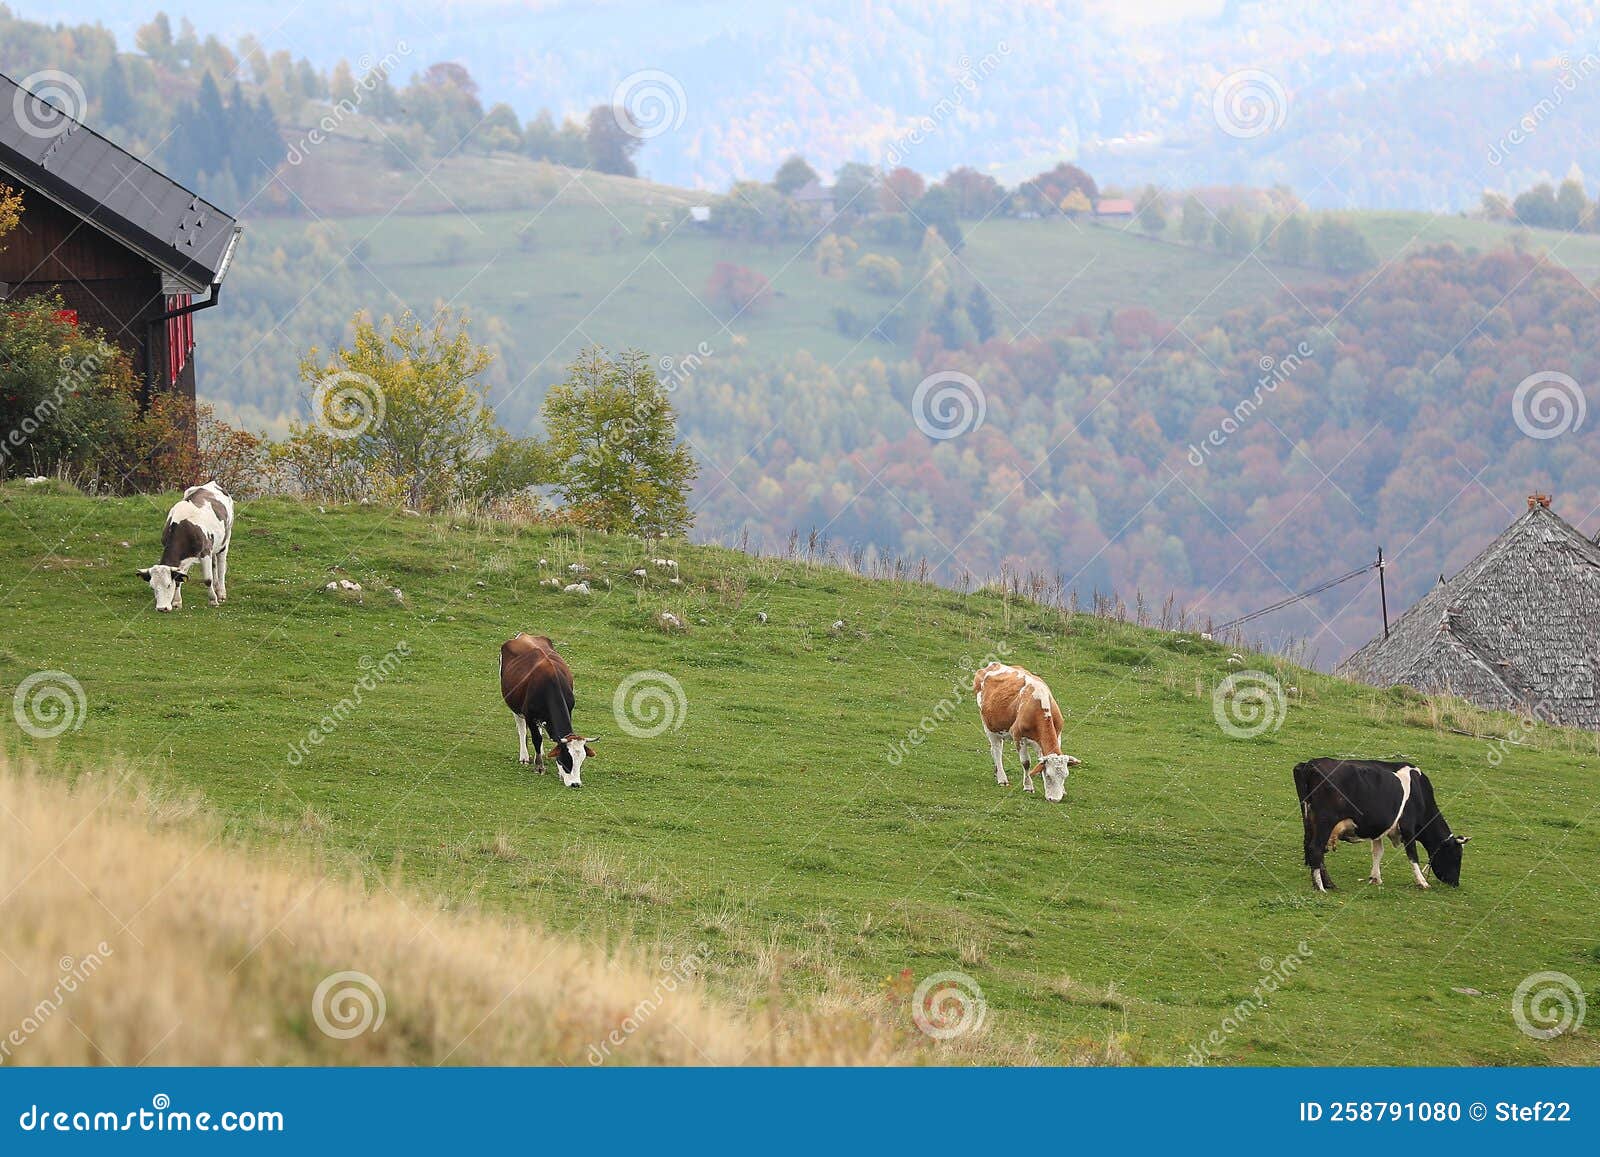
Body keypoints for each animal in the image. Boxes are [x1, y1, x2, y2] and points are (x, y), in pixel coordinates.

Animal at [138, 482, 234, 612]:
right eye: (152, 587)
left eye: (168, 585)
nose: (161, 608)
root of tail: (212, 483)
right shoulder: (184, 559)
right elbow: (179, 579)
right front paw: (177, 602)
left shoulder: (205, 552)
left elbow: (207, 580)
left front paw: (213, 600)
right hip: (214, 545)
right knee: (214, 565)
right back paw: (217, 588)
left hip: (225, 540)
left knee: (221, 567)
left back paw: (221, 593)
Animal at [499, 633, 598, 788]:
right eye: (566, 759)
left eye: (581, 761)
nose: (576, 784)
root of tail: (524, 635)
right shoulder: (530, 716)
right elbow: (536, 739)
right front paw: (539, 767)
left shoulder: (568, 710)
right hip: (514, 705)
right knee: (522, 730)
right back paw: (524, 756)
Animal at [973, 662, 1080, 802]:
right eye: (1049, 775)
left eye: (1065, 776)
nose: (1055, 800)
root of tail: (993, 664)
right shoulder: (1018, 736)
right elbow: (1026, 763)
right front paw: (1028, 786)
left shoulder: (1057, 735)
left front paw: (1063, 790)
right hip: (989, 726)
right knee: (997, 750)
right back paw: (1002, 778)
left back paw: (997, 772)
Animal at [1293, 757, 1470, 892]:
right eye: (1457, 855)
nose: (1455, 883)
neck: (1421, 795)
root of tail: (1310, 764)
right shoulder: (1408, 827)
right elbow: (1413, 855)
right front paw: (1422, 881)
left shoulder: (1379, 828)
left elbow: (1378, 852)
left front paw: (1375, 877)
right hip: (1326, 820)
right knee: (1316, 848)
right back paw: (1321, 887)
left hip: (1310, 819)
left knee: (1312, 847)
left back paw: (1328, 884)